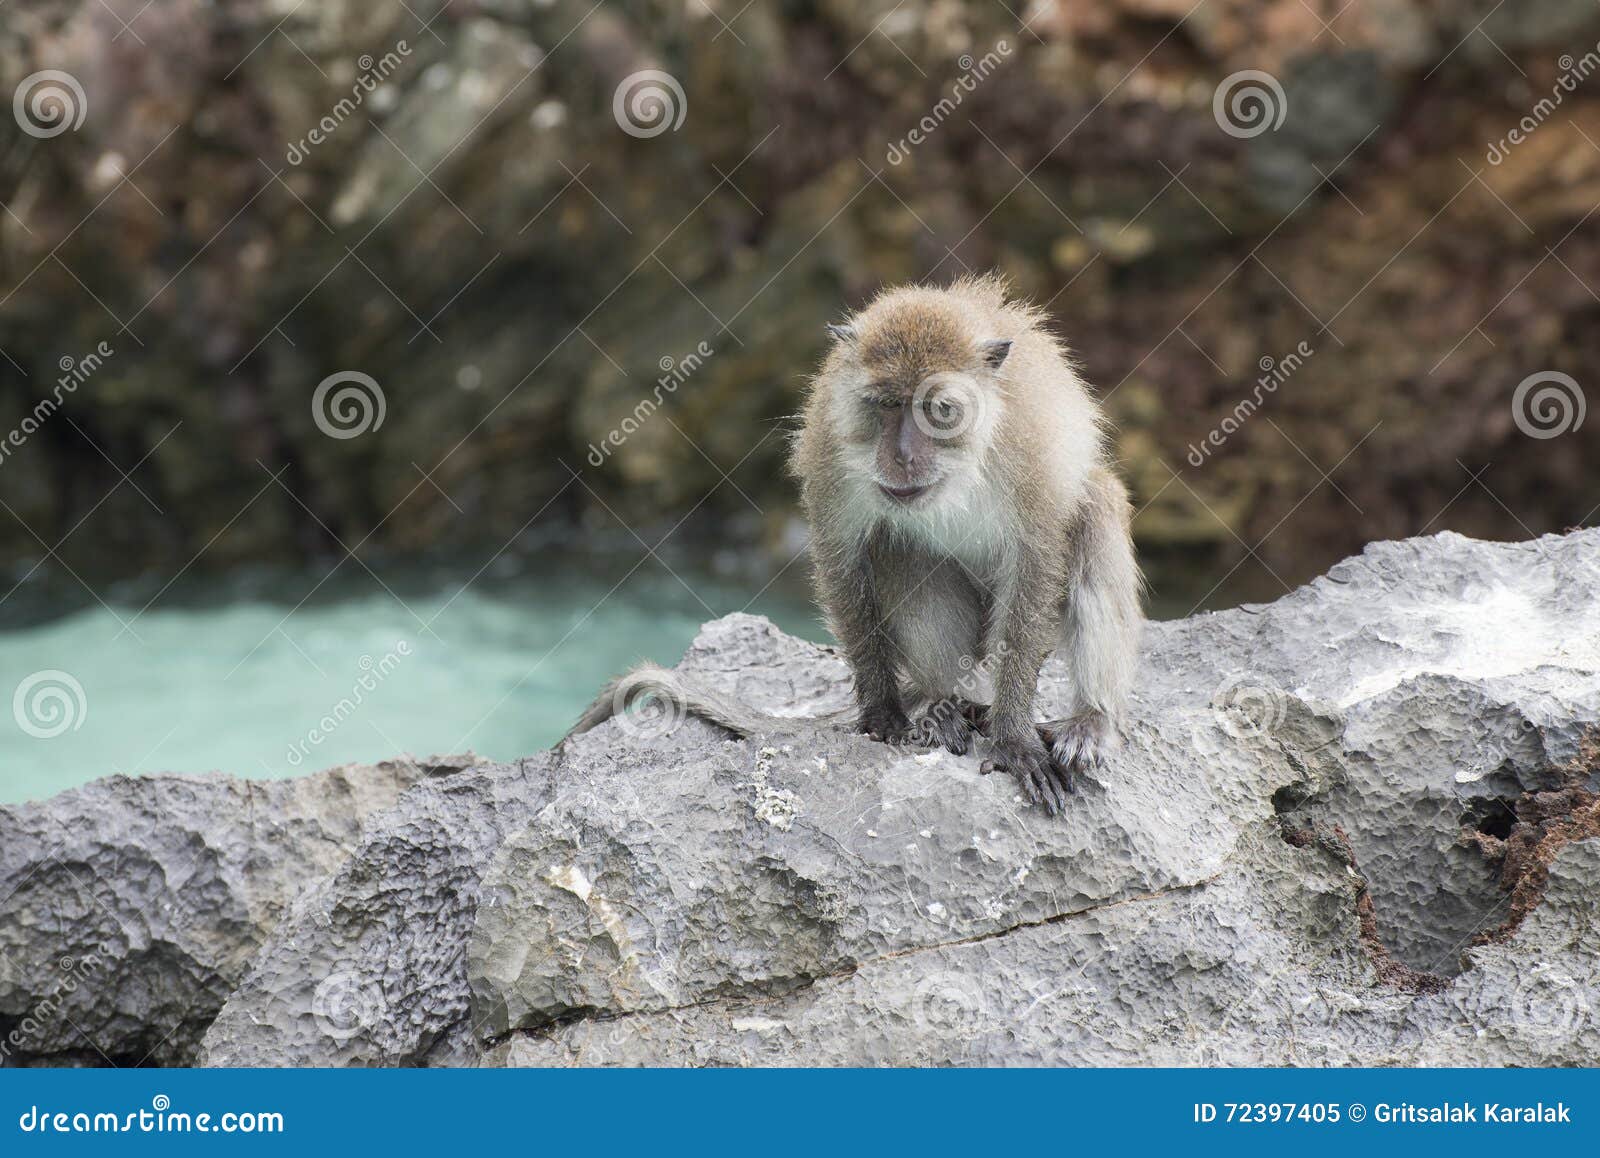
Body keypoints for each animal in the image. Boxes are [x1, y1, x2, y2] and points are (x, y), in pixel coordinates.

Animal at [567, 275, 1142, 816]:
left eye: (936, 409)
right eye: (886, 404)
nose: (902, 457)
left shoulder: (1031, 451)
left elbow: (1036, 563)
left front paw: (1015, 737)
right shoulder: (830, 440)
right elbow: (841, 552)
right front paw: (881, 711)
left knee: (1095, 509)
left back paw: (1089, 721)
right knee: (900, 549)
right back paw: (942, 703)